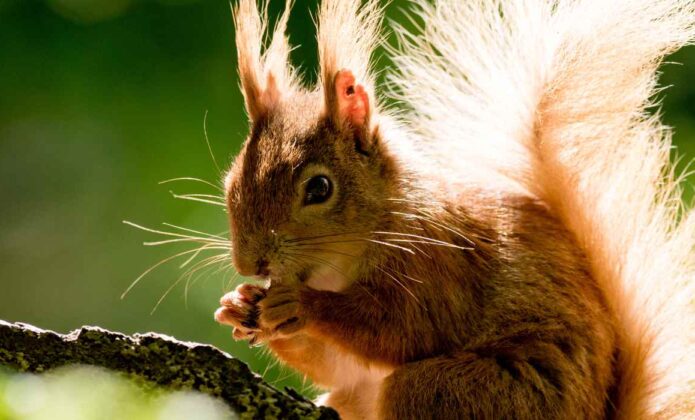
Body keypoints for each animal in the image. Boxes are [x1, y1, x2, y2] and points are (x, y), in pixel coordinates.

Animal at [213, 0, 695, 418]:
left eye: (319, 188)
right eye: (231, 182)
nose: (250, 263)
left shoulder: (439, 264)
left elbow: (400, 330)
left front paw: (303, 304)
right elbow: (339, 365)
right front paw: (238, 305)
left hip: (468, 393)